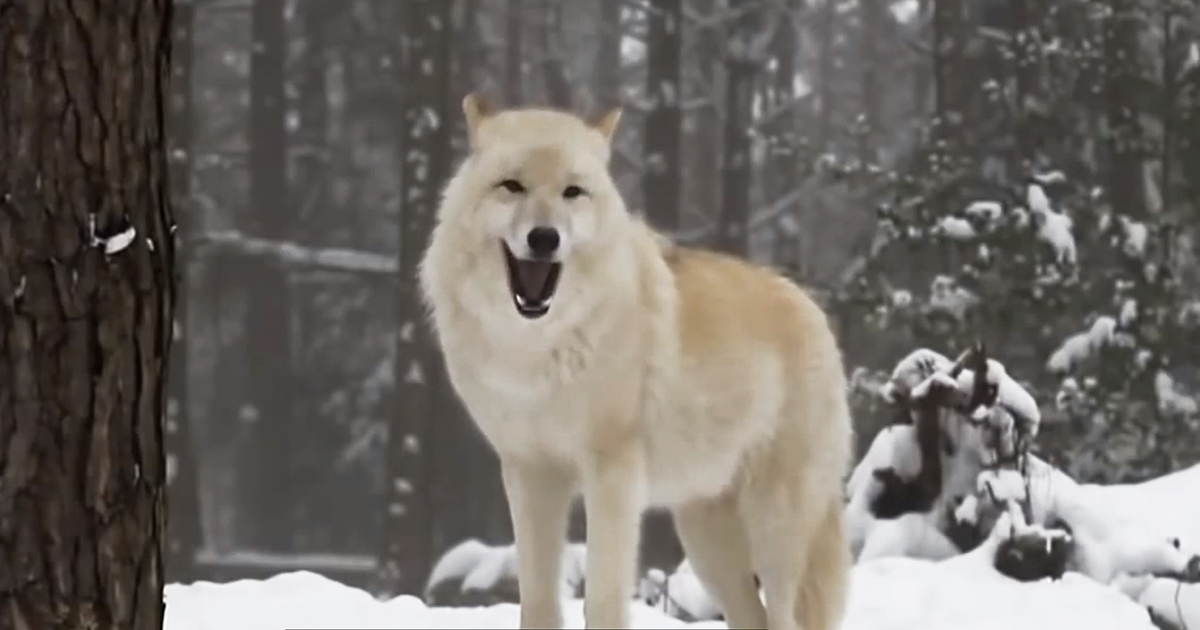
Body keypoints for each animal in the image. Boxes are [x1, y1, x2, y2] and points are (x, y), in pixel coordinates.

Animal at [419, 93, 854, 630]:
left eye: (572, 192)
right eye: (512, 186)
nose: (544, 238)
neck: (538, 352)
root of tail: (812, 308)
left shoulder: (613, 474)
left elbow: (604, 599)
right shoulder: (529, 473)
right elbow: (537, 602)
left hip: (775, 528)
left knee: (784, 616)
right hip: (706, 539)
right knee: (750, 617)